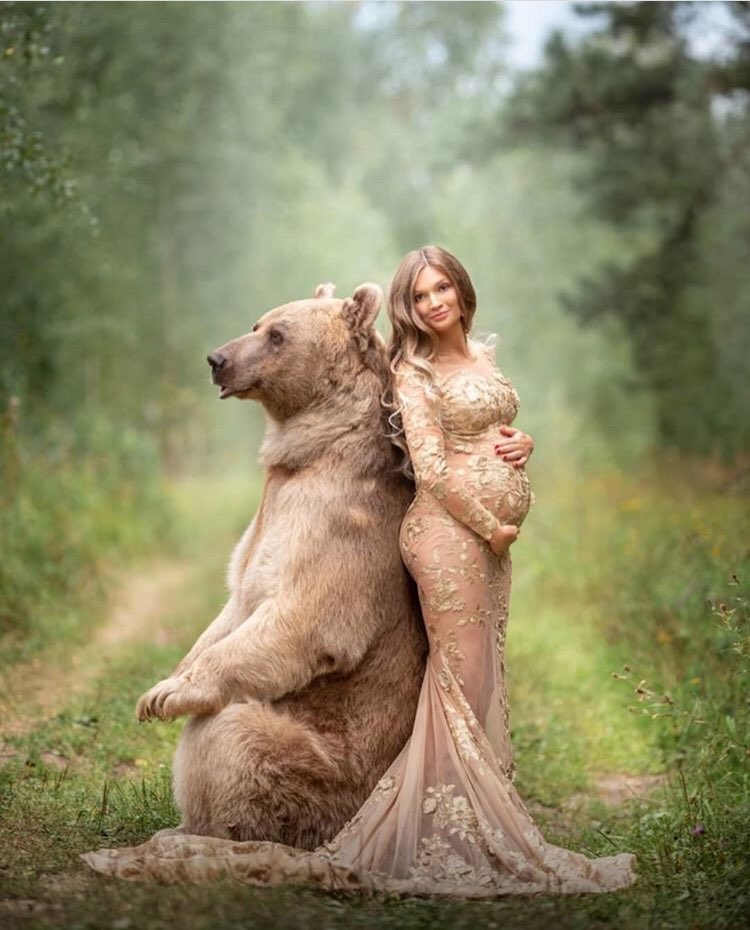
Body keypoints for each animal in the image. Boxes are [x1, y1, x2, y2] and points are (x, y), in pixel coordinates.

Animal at [134, 282, 427, 850]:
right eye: (256, 322)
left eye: (278, 334)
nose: (217, 359)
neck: (307, 453)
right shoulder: (263, 526)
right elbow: (233, 606)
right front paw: (160, 684)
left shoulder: (336, 524)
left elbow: (302, 618)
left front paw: (171, 695)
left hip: (329, 775)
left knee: (230, 735)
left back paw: (205, 831)